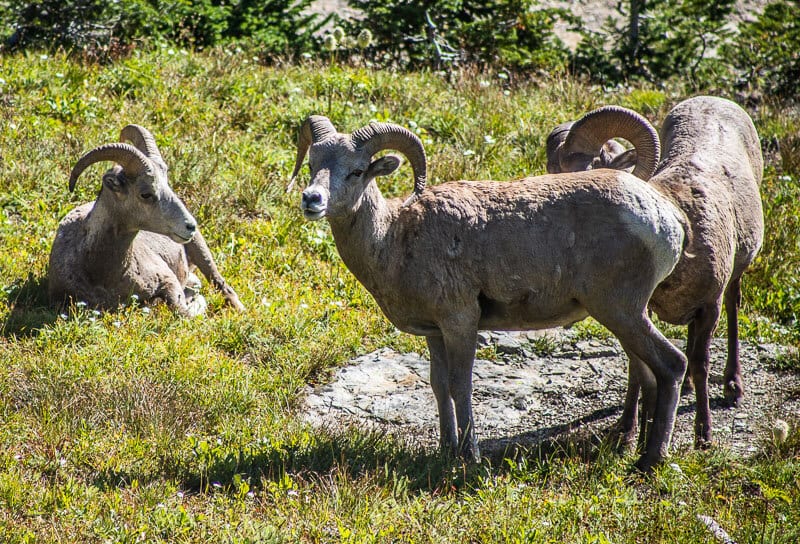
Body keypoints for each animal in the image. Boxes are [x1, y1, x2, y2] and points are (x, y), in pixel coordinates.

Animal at [290, 116, 692, 472]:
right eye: (312, 164)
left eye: (357, 171)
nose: (312, 199)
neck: (395, 237)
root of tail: (668, 219)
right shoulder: (436, 333)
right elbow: (439, 386)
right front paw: (445, 450)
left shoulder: (461, 323)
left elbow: (461, 386)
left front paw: (470, 456)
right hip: (625, 316)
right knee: (649, 372)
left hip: (621, 310)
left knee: (672, 364)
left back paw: (650, 461)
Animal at [548, 96, 764, 446]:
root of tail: (713, 101)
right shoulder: (638, 309)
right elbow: (638, 368)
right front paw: (627, 429)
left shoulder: (710, 307)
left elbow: (702, 365)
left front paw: (703, 436)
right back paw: (684, 385)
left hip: (732, 282)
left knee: (733, 309)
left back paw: (733, 388)